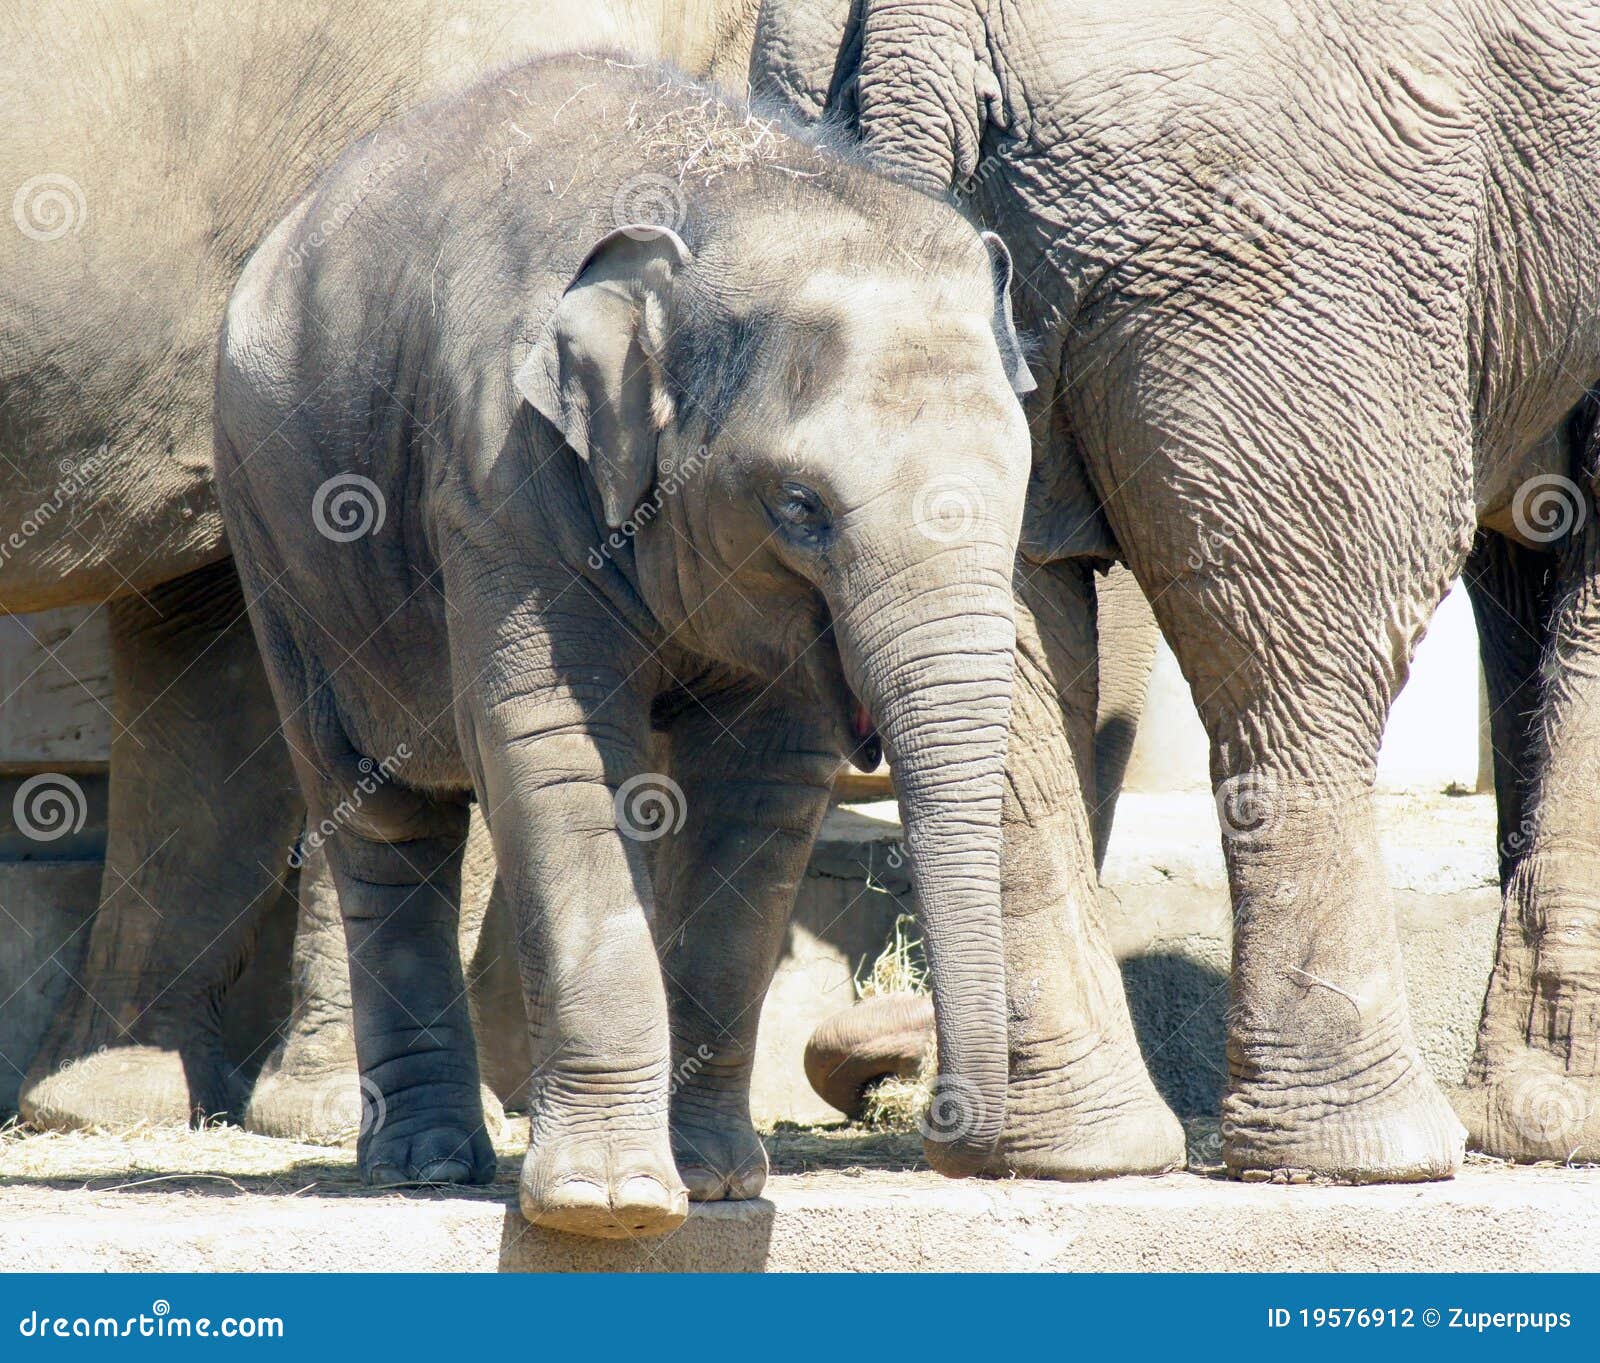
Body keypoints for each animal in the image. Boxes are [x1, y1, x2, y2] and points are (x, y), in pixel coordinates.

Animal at [213, 51, 1037, 1234]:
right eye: (801, 508)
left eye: (1023, 485)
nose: (940, 1123)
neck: (732, 198)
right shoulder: (499, 476)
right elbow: (560, 757)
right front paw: (611, 1207)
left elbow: (760, 793)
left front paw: (719, 1183)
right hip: (274, 534)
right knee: (378, 808)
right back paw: (424, 1164)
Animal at [746, 0, 1600, 1180]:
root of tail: (925, 23)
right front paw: (1555, 1125)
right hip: (1283, 246)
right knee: (1305, 654)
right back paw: (1367, 1153)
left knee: (1007, 618)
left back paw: (1068, 1152)